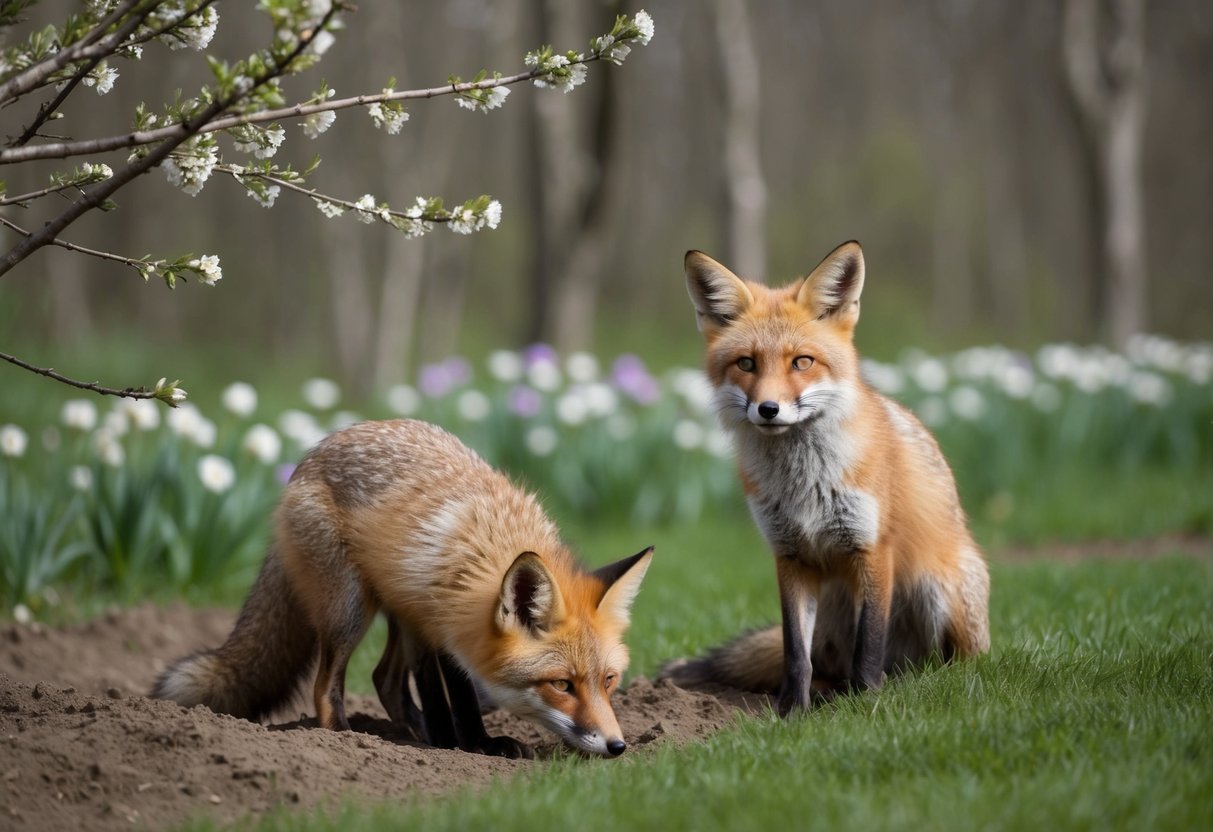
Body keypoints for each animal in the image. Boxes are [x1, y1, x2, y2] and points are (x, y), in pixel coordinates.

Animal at [152, 419, 653, 758]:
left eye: (609, 681)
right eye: (562, 684)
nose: (617, 746)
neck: (484, 555)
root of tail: (313, 454)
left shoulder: (431, 623)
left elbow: (440, 690)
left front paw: (460, 741)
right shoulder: (429, 621)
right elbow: (450, 693)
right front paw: (464, 746)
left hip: (387, 612)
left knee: (384, 679)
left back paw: (412, 731)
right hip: (350, 610)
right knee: (325, 686)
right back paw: (348, 737)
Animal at [662, 241, 989, 715]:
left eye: (802, 362)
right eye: (746, 363)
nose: (768, 409)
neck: (804, 484)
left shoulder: (872, 549)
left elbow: (869, 645)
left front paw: (867, 704)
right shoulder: (790, 555)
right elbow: (795, 652)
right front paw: (790, 713)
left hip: (938, 590)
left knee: (949, 664)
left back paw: (908, 684)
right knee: (822, 661)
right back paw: (828, 693)